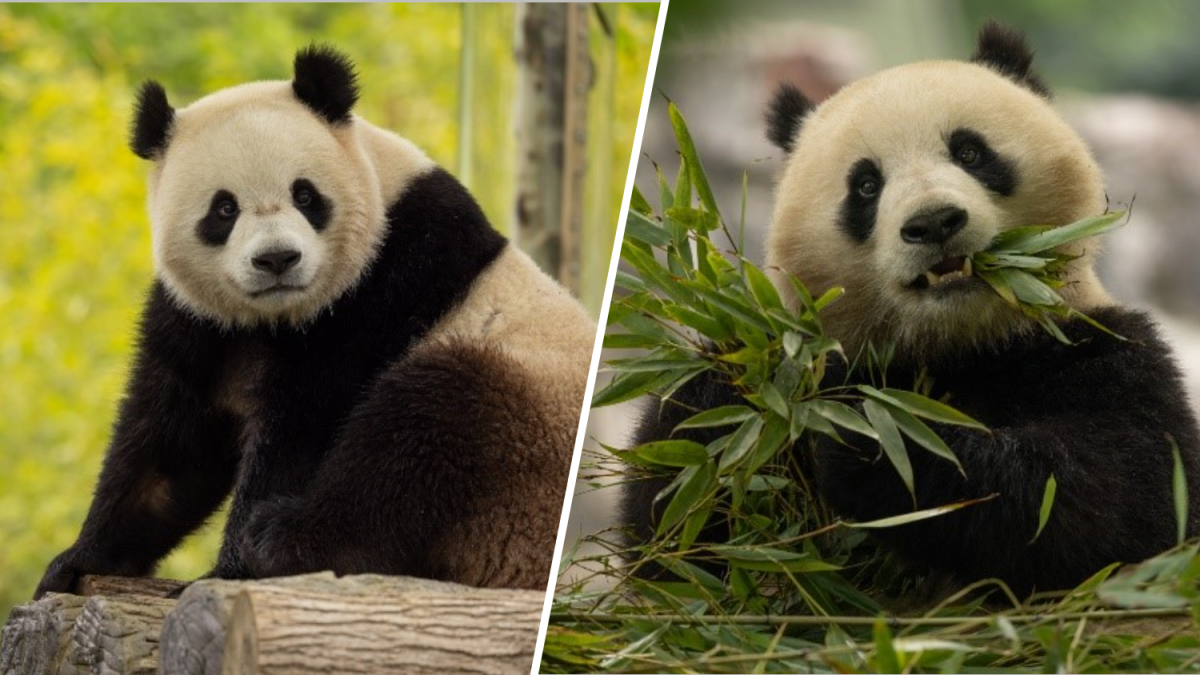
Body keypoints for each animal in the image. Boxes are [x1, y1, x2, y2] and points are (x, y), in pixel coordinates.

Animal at [34, 46, 596, 598]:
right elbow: (171, 445)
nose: (277, 259)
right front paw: (78, 561)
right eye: (223, 209)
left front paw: (229, 569)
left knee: (425, 429)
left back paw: (283, 539)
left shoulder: (383, 286)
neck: (275, 317)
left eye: (305, 195)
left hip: (524, 427)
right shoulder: (201, 321)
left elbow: (304, 428)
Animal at [622, 23, 1200, 594]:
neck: (955, 344)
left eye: (970, 153)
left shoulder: (1099, 348)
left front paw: (873, 438)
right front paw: (734, 395)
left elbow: (1121, 499)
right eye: (865, 185)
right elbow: (676, 539)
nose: (934, 222)